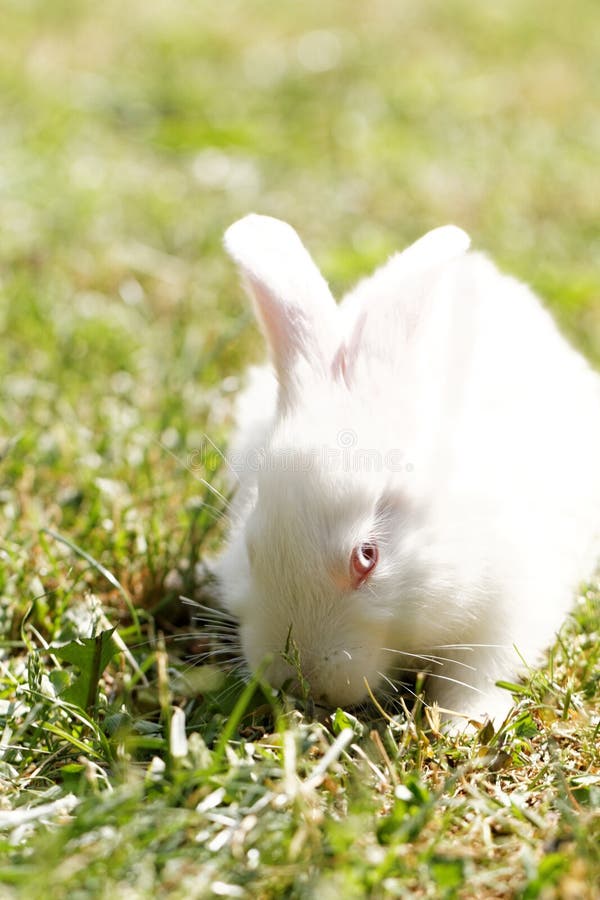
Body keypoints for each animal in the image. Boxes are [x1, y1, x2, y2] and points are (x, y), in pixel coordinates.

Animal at [213, 213, 600, 726]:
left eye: (367, 556)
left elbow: (477, 677)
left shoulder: (506, 612)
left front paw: (462, 724)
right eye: (251, 548)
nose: (300, 681)